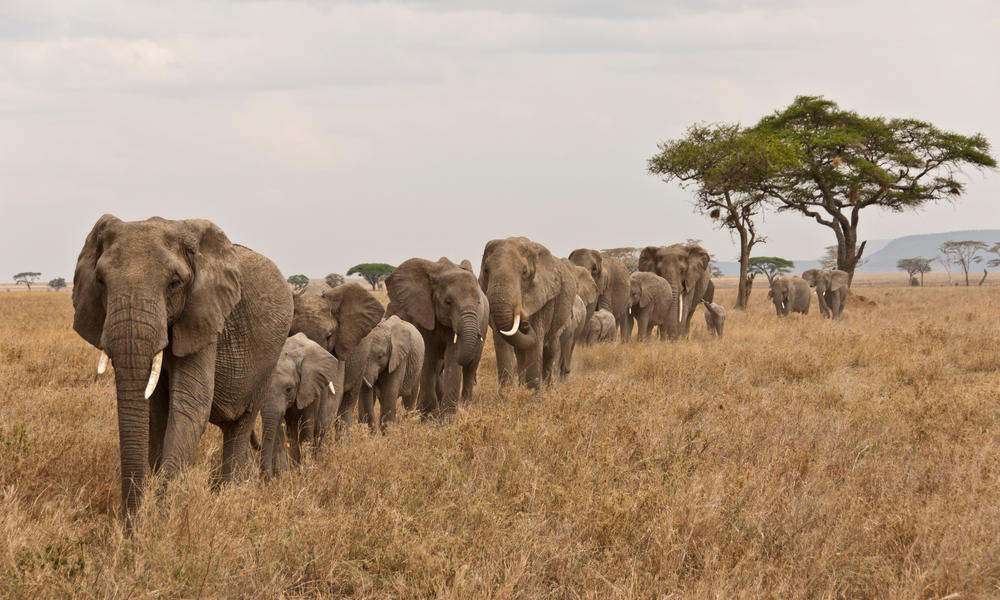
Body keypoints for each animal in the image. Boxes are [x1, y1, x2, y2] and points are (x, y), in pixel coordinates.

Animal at [72, 215, 293, 521]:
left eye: (174, 283)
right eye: (101, 281)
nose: (130, 525)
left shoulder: (204, 316)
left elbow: (190, 403)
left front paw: (162, 518)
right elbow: (155, 411)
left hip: (270, 358)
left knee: (241, 424)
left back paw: (232, 494)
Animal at [258, 333, 342, 478]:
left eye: (289, 389)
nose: (267, 478)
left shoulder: (310, 386)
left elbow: (307, 426)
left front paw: (307, 471)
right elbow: (279, 429)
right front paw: (284, 476)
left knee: (319, 431)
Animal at [385, 257, 489, 418]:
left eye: (478, 303)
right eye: (448, 302)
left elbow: (452, 356)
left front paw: (446, 418)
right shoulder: (422, 313)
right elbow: (429, 355)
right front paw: (428, 416)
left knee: (470, 369)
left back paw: (465, 407)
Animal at [480, 237, 577, 389]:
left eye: (524, 272)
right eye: (486, 270)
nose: (525, 324)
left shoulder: (543, 296)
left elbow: (535, 340)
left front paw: (531, 394)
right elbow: (502, 341)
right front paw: (509, 394)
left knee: (550, 349)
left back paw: (548, 389)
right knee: (520, 352)